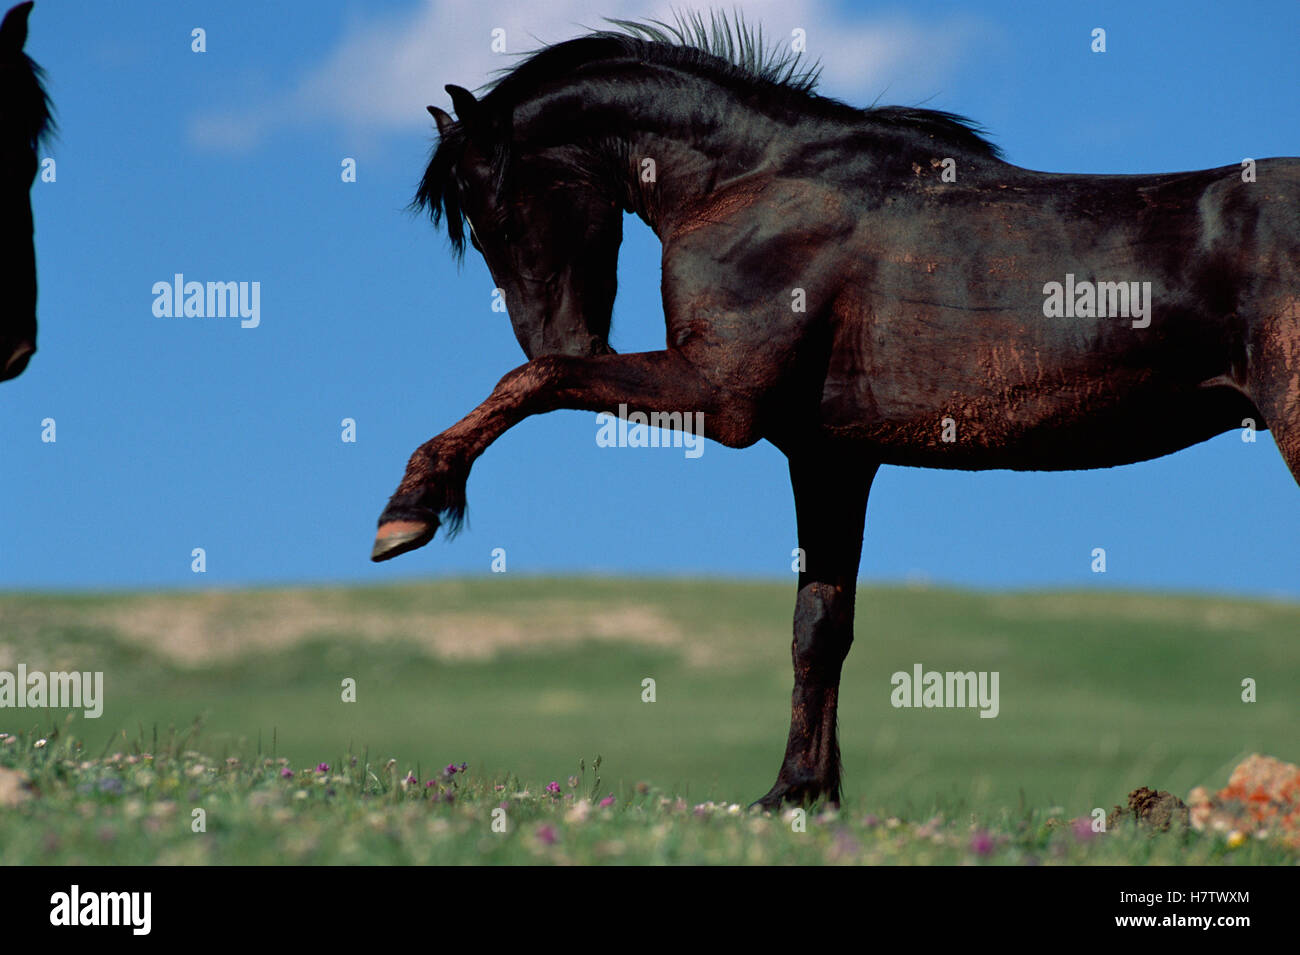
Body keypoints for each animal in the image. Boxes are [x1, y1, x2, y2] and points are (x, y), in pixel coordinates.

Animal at [371, 16, 1300, 807]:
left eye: (491, 207)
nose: (565, 332)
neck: (749, 184)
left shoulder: (721, 396)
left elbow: (529, 384)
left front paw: (411, 507)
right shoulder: (829, 455)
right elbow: (819, 627)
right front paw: (798, 792)